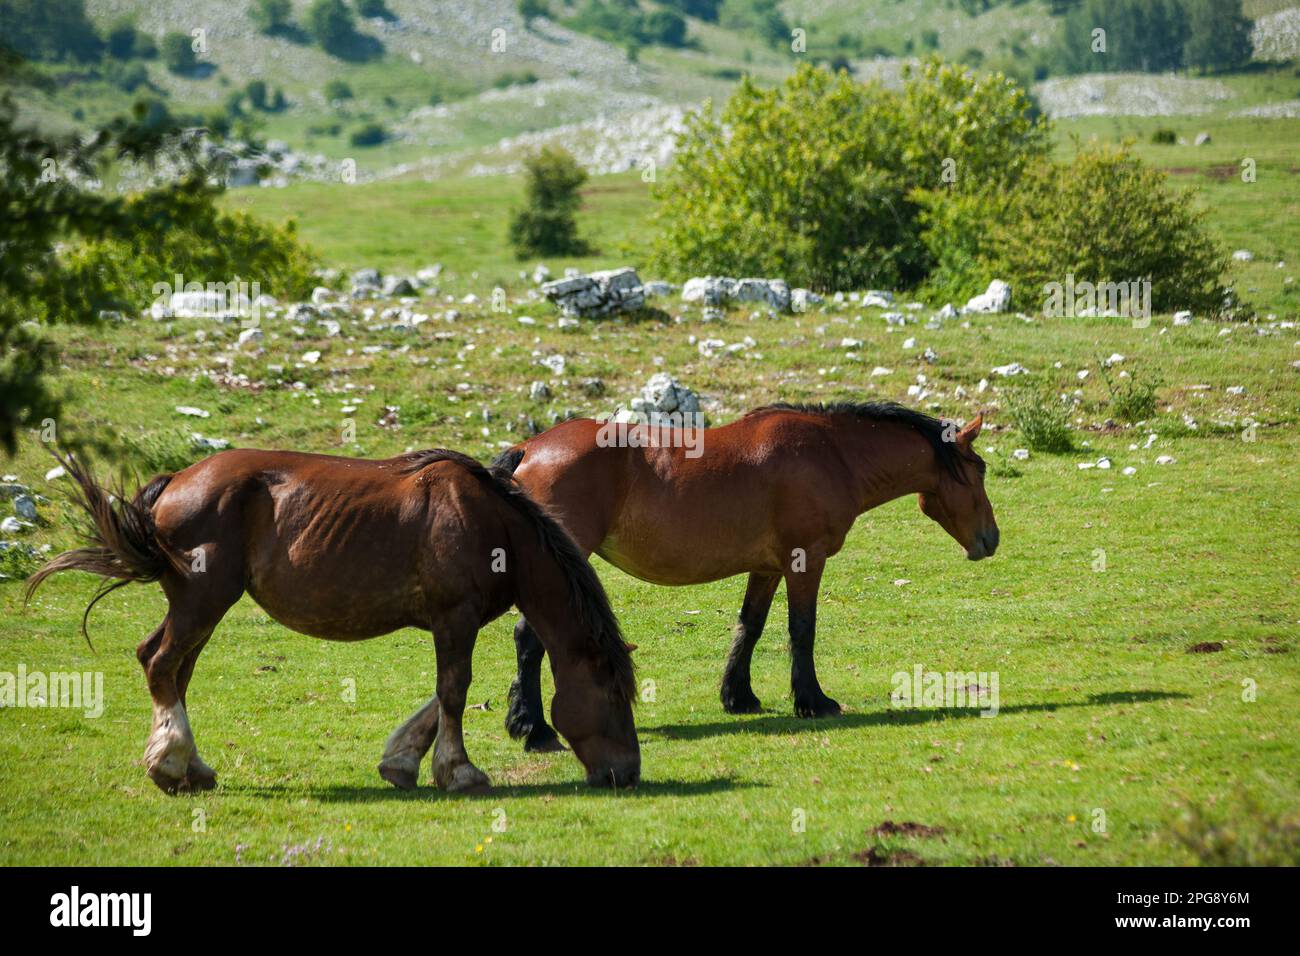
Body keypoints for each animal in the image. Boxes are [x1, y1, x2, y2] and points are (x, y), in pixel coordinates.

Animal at [26, 448, 639, 794]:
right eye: (612, 694)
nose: (627, 773)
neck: (492, 525)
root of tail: (176, 481)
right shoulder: (455, 618)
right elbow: (454, 691)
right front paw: (459, 771)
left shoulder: (452, 623)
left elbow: (440, 696)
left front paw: (402, 762)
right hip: (202, 601)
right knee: (161, 663)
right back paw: (171, 766)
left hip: (197, 607)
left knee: (173, 670)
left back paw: (188, 766)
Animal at [492, 401, 999, 752]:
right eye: (979, 468)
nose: (991, 539)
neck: (833, 454)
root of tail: (530, 448)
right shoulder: (805, 560)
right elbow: (802, 630)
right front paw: (813, 701)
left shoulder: (767, 568)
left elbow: (749, 626)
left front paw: (739, 696)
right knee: (529, 637)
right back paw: (535, 730)